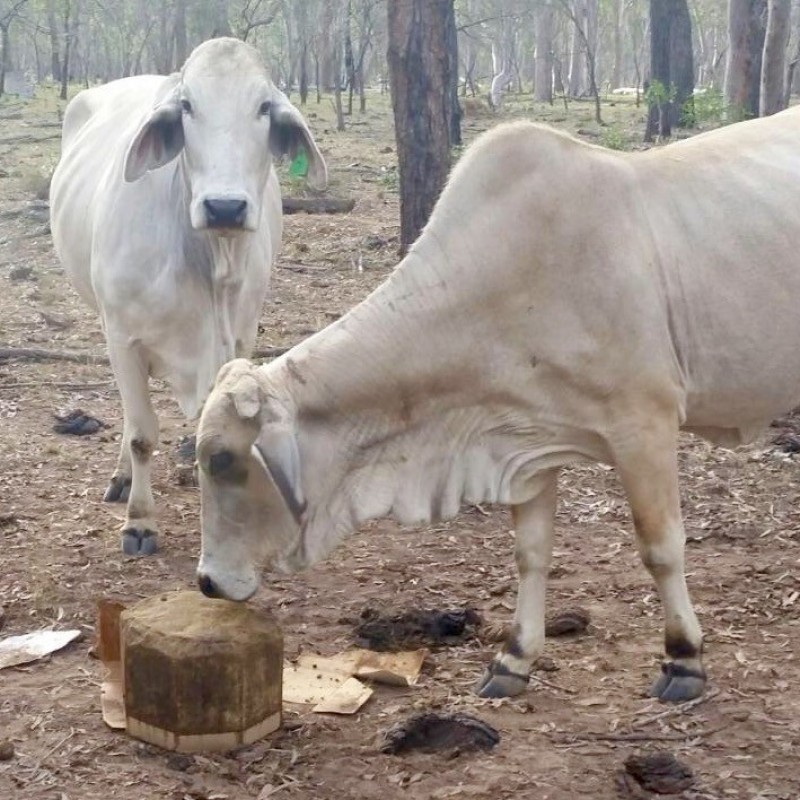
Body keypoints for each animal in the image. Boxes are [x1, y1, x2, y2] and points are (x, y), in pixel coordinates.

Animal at [49, 38, 326, 556]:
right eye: (187, 106)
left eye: (264, 107)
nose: (225, 206)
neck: (208, 262)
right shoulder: (122, 337)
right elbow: (142, 433)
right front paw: (140, 522)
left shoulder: (236, 342)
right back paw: (122, 480)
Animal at [194, 106, 800, 702]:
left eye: (222, 460)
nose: (207, 582)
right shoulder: (524, 444)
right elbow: (531, 555)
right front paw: (514, 659)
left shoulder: (644, 424)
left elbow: (661, 547)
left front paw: (683, 660)